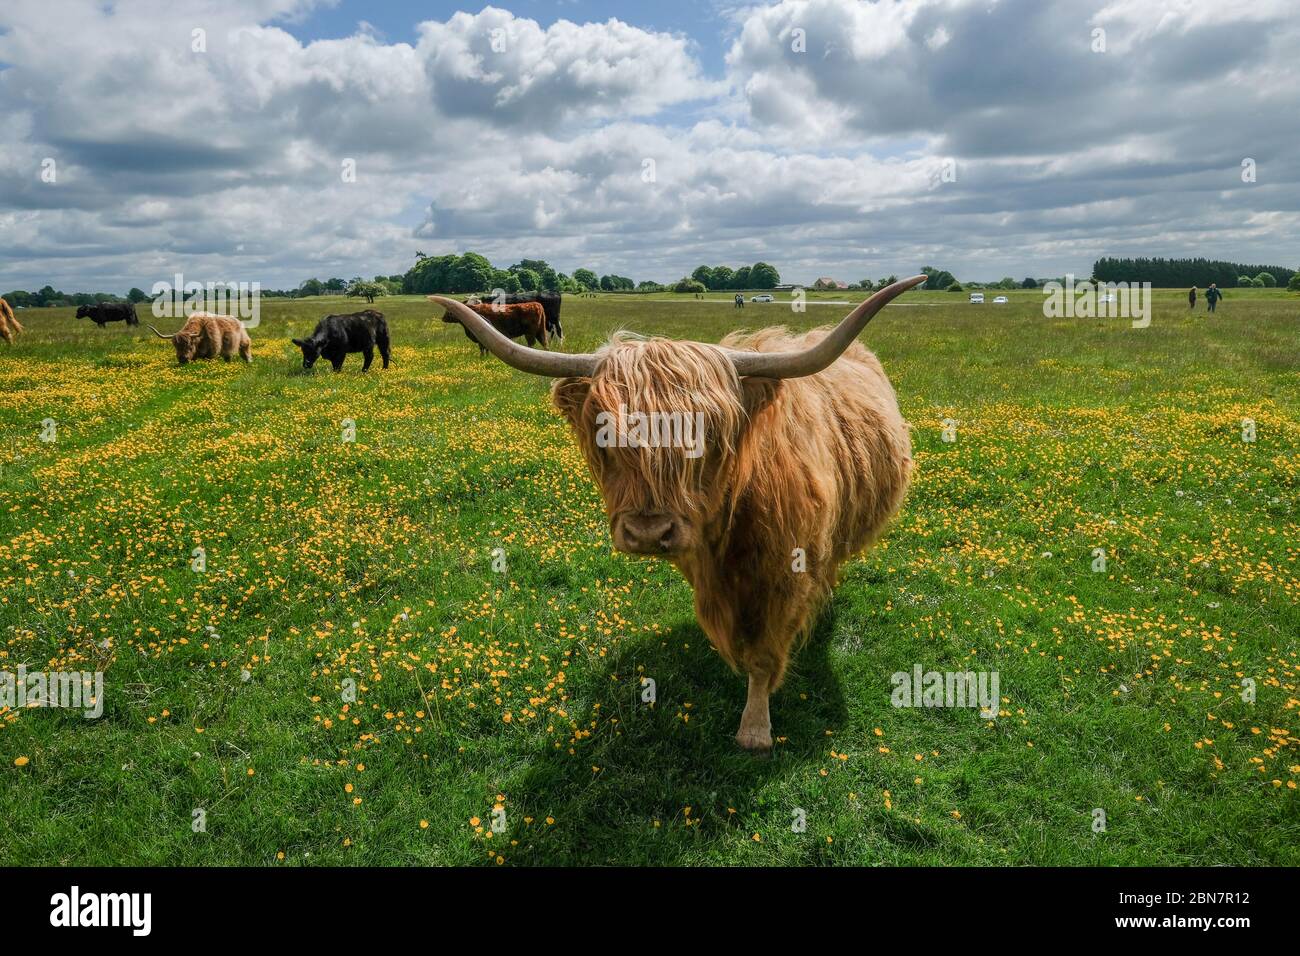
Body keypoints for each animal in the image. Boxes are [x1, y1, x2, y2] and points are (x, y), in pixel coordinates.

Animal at [428, 275, 927, 752]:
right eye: (603, 432)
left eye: (707, 432)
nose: (648, 532)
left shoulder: (786, 574)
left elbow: (764, 655)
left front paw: (754, 729)